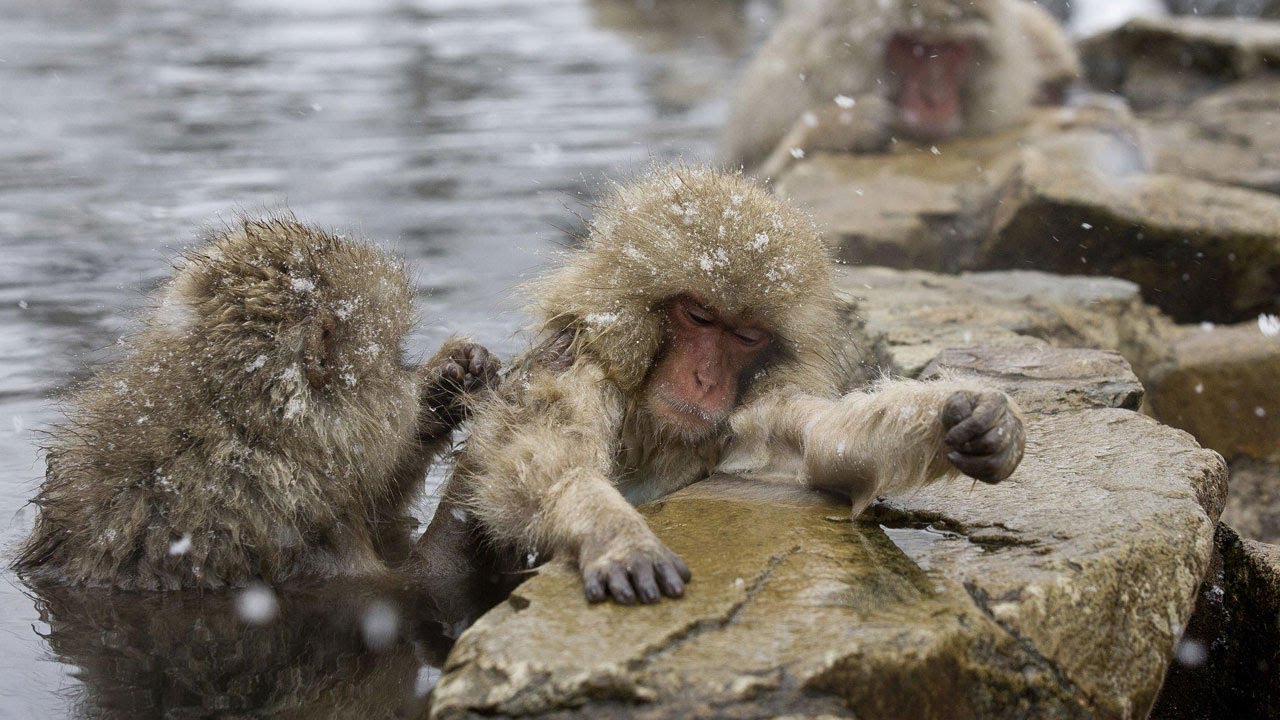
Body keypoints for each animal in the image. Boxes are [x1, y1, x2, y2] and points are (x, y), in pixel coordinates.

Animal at [13, 217, 500, 591]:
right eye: (396, 357)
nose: (411, 375)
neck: (239, 427)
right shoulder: (271, 517)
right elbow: (412, 584)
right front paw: (474, 474)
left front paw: (451, 379)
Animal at [415, 166, 1025, 609]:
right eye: (699, 317)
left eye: (746, 336)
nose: (705, 379)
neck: (651, 433)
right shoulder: (574, 368)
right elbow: (536, 466)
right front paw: (614, 532)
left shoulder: (752, 414)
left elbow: (827, 440)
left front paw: (983, 419)